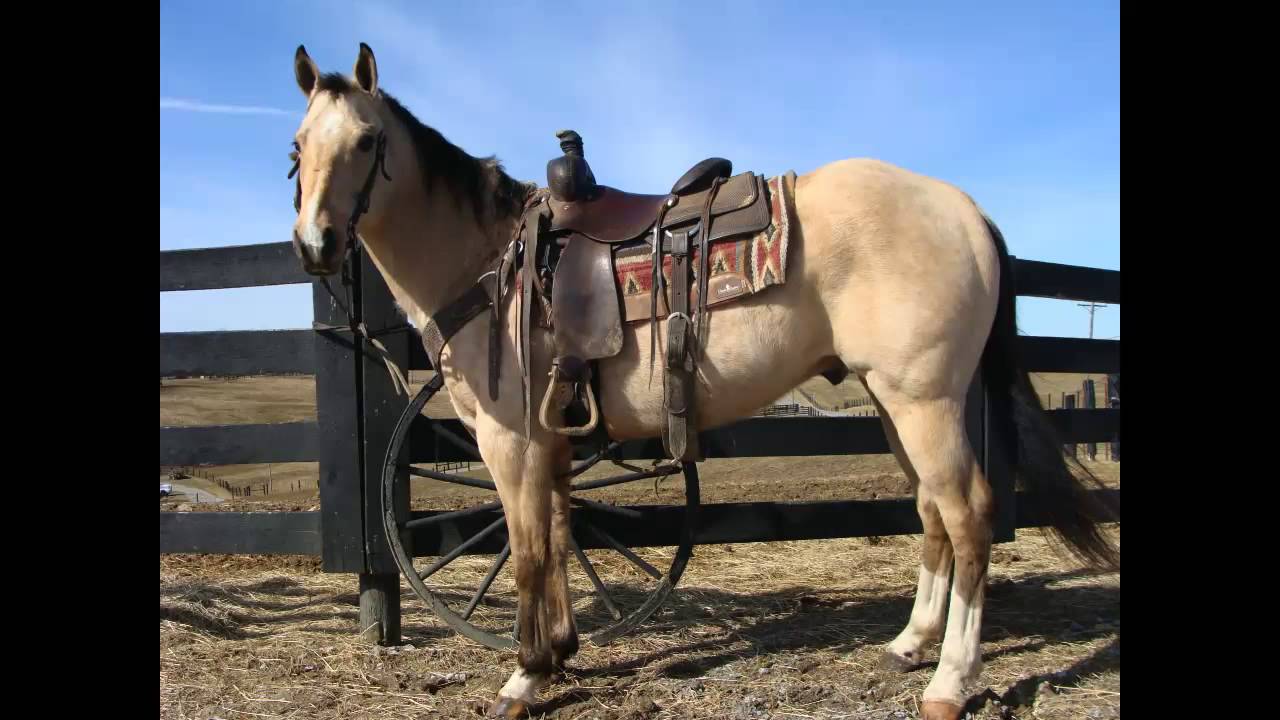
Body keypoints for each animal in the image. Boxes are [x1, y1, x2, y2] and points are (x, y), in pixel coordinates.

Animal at [285, 43, 1118, 720]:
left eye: (368, 140)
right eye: (297, 146)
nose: (315, 245)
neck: (493, 263)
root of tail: (965, 209)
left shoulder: (509, 442)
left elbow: (525, 550)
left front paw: (524, 675)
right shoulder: (554, 442)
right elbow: (560, 535)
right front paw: (561, 652)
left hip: (926, 401)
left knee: (969, 514)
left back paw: (949, 681)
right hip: (893, 403)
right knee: (933, 513)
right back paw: (912, 641)